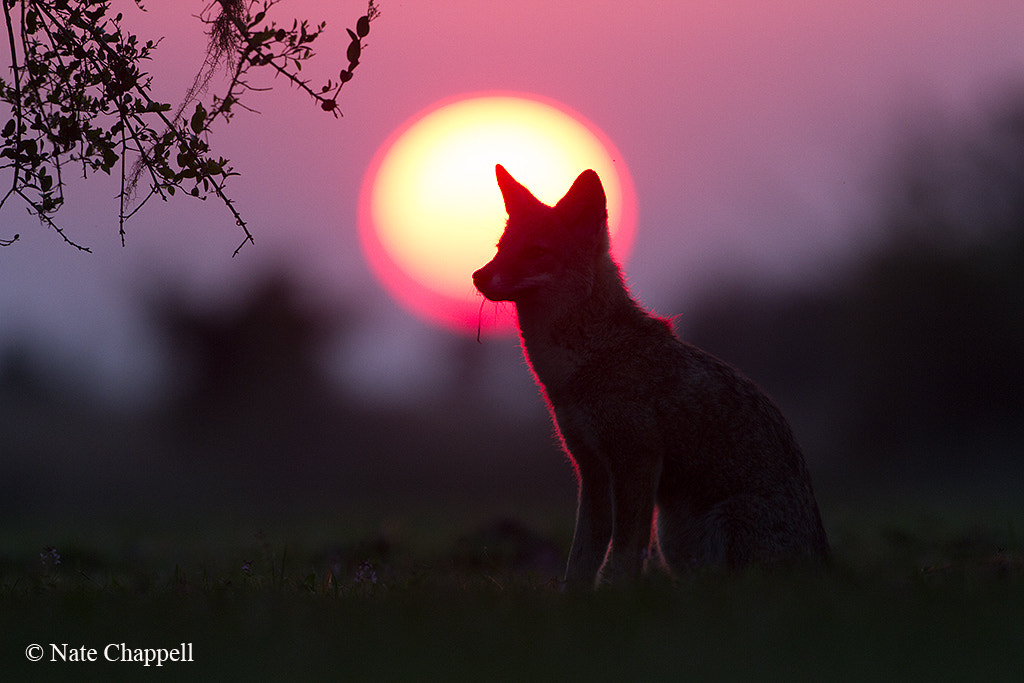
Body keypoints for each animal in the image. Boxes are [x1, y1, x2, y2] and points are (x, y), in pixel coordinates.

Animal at [472, 165, 829, 587]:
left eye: (536, 252)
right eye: (501, 248)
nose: (477, 277)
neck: (581, 365)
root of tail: (825, 563)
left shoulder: (636, 461)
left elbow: (624, 553)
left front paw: (617, 594)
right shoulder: (592, 470)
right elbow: (580, 558)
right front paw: (575, 598)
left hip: (714, 527)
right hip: (675, 535)